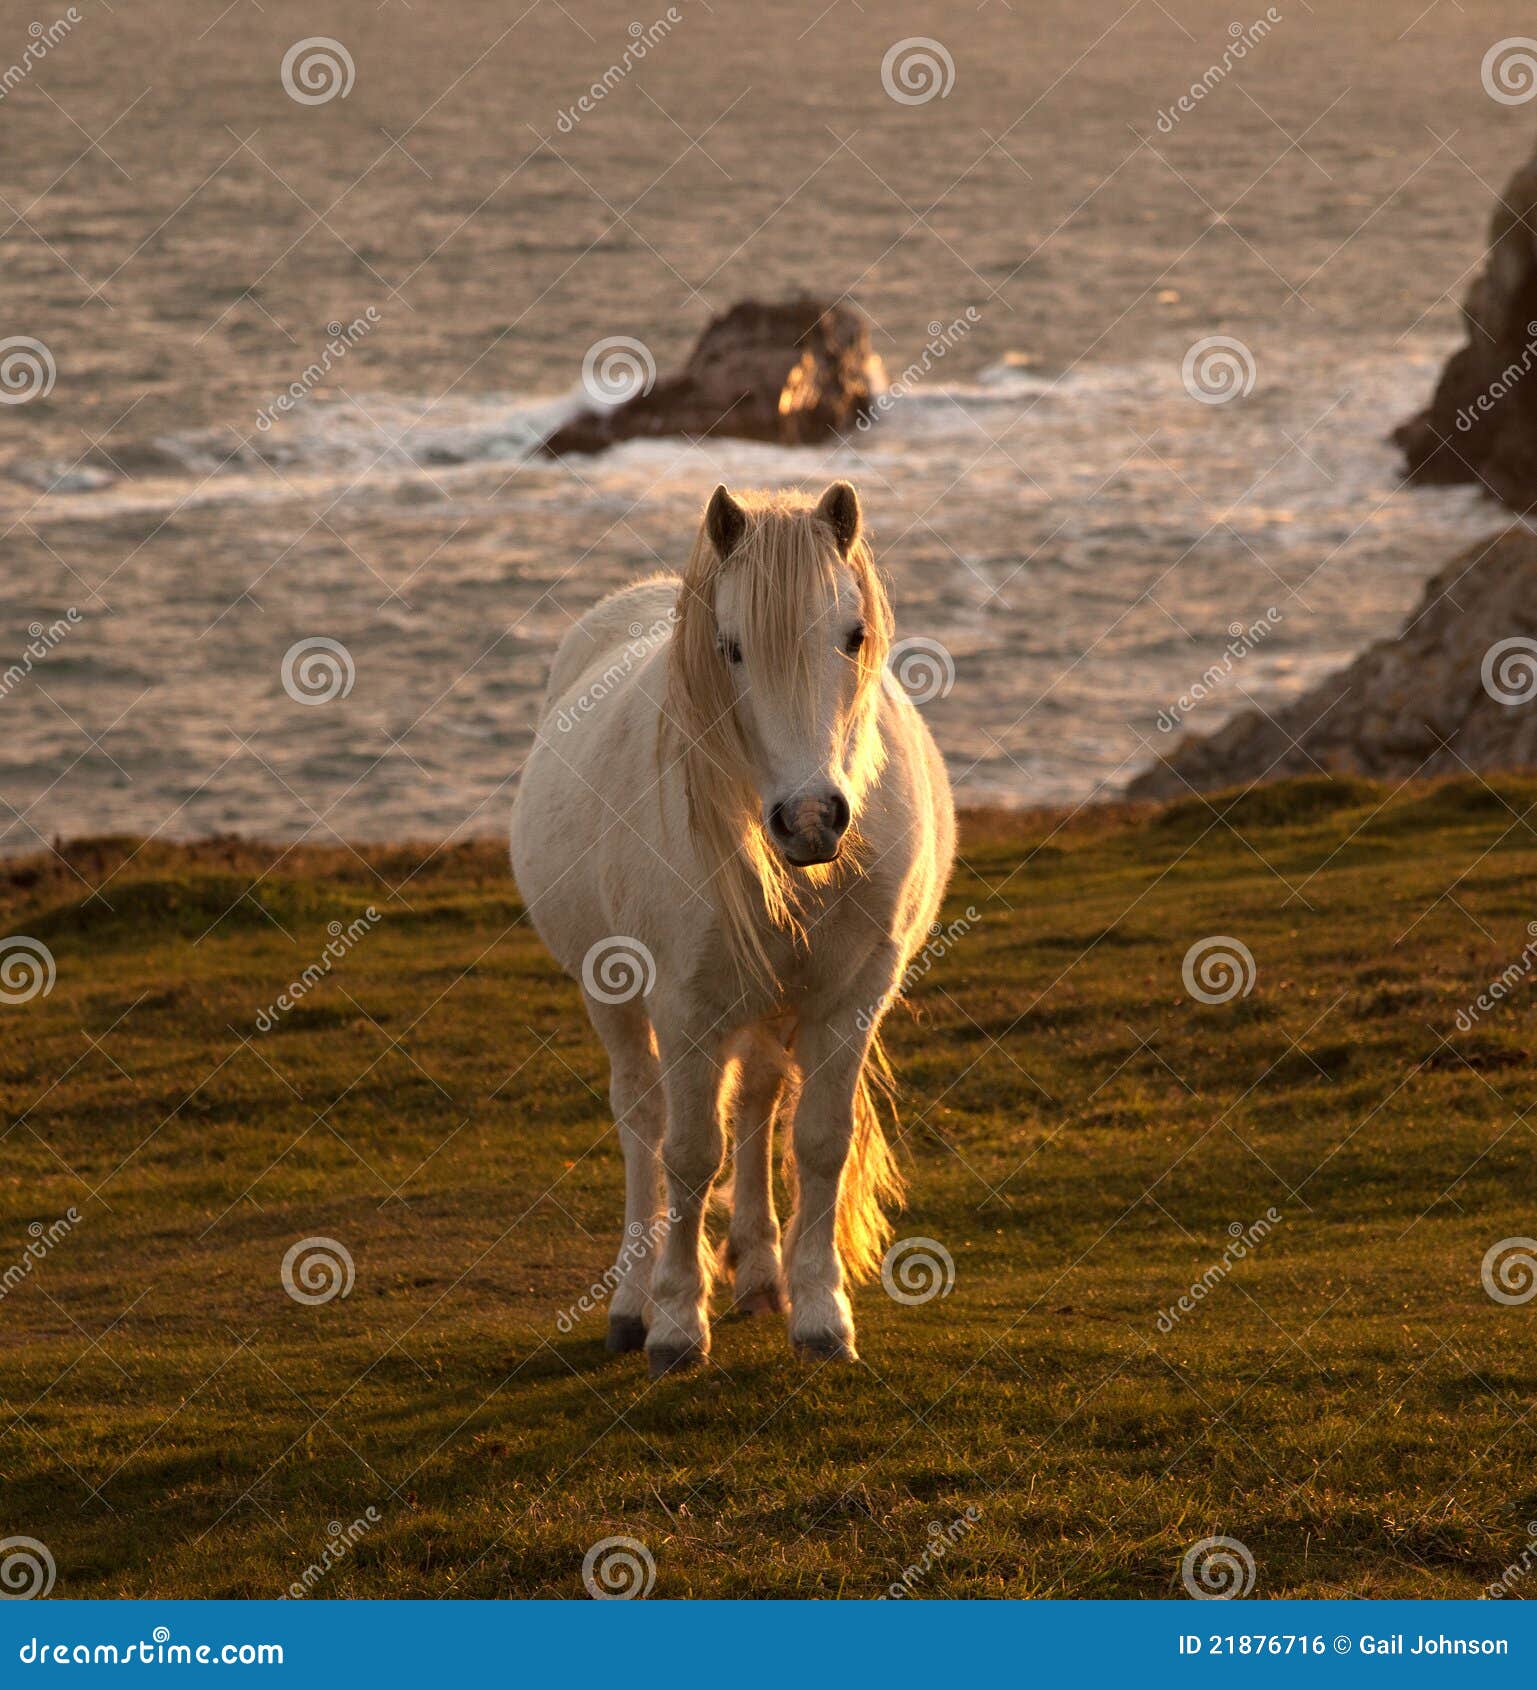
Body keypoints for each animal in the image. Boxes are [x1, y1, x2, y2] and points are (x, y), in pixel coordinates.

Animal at [510, 480, 956, 1377]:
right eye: (732, 649)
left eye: (853, 636)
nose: (811, 819)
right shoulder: (685, 1009)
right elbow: (687, 1154)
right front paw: (678, 1326)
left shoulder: (848, 1001)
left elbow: (817, 1141)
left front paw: (820, 1313)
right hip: (613, 1000)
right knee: (643, 1122)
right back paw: (633, 1302)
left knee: (754, 1105)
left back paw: (758, 1272)